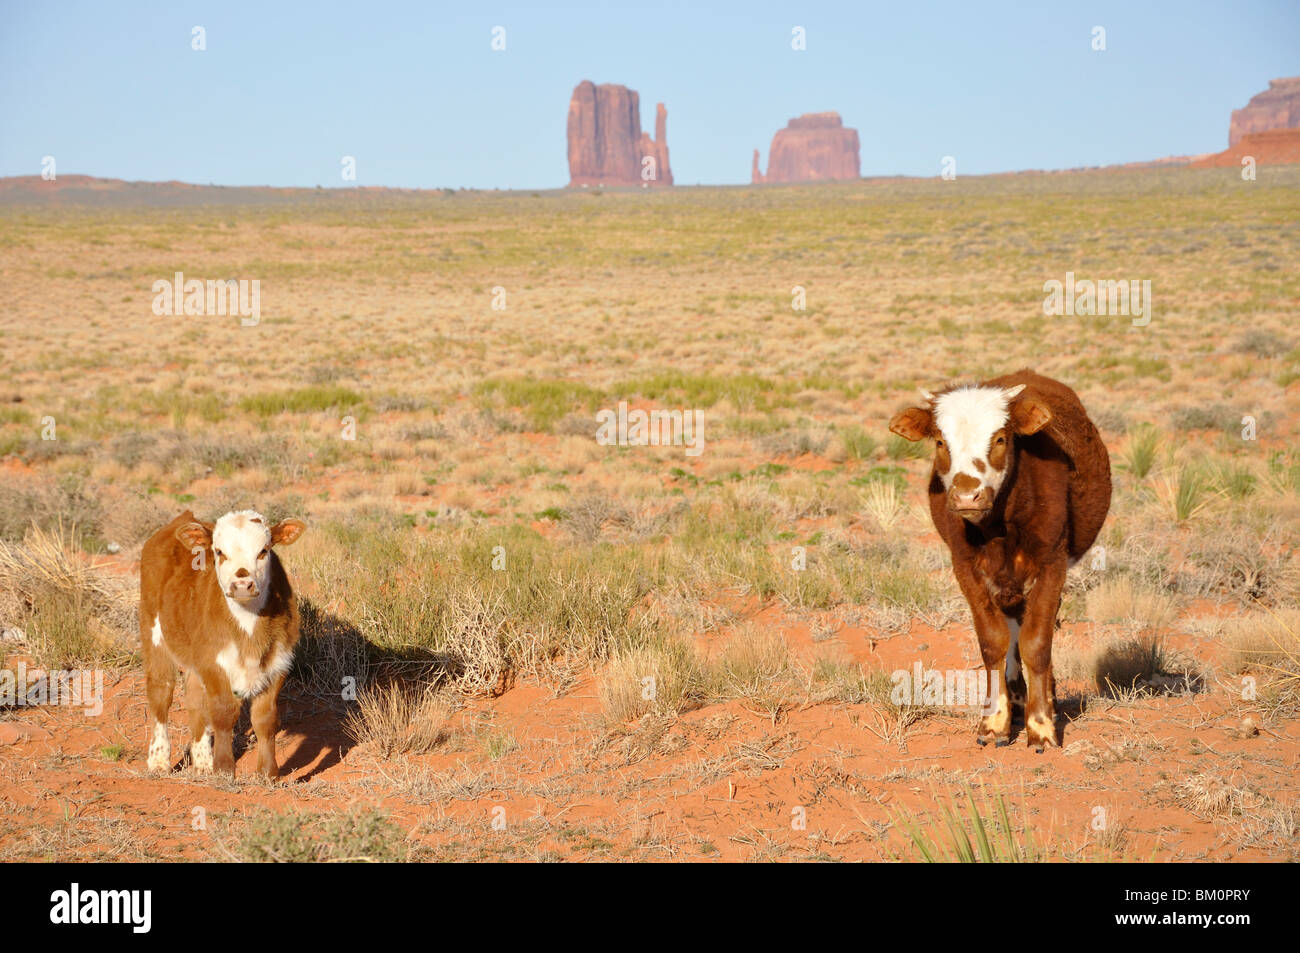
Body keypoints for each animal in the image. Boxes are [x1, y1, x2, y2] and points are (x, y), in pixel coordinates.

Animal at [139, 509, 306, 777]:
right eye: (219, 552)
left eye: (264, 550)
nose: (242, 585)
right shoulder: (212, 662)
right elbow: (224, 711)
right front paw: (225, 768)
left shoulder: (280, 661)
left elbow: (265, 718)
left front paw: (268, 773)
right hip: (153, 630)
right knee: (161, 692)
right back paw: (159, 759)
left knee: (195, 698)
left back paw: (203, 761)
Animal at [889, 369, 1111, 751]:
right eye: (940, 442)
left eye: (1001, 439)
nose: (967, 495)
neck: (1000, 523)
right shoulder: (966, 567)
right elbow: (994, 642)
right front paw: (995, 721)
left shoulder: (1052, 564)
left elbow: (1037, 643)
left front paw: (1041, 724)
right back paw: (1019, 699)